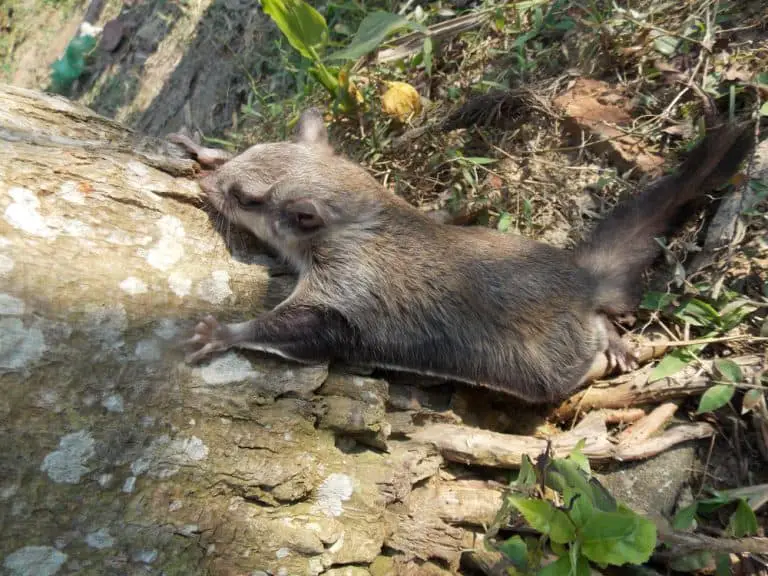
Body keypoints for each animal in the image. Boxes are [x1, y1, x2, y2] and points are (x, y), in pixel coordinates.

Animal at [168, 109, 753, 403]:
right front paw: (203, 151)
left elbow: (295, 329)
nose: (212, 186)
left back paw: (613, 343)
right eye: (246, 158)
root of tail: (580, 280)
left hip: (558, 363)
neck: (363, 219)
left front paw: (222, 333)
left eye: (246, 199)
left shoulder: (348, 290)